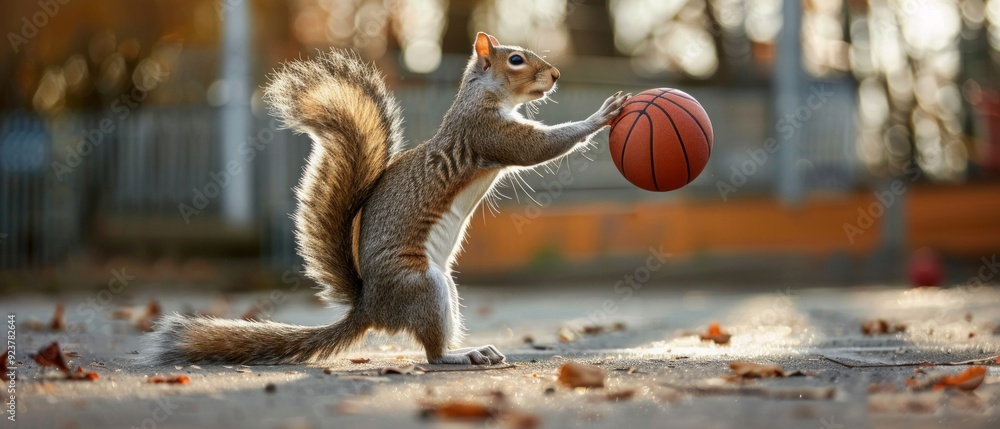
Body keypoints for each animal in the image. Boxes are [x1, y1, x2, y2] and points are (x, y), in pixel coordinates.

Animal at [144, 33, 630, 365]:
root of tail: (371, 307)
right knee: (432, 354)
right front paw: (599, 116)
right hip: (424, 285)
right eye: (515, 59)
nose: (557, 75)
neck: (482, 96)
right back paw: (462, 355)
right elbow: (539, 147)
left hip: (444, 286)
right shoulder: (486, 133)